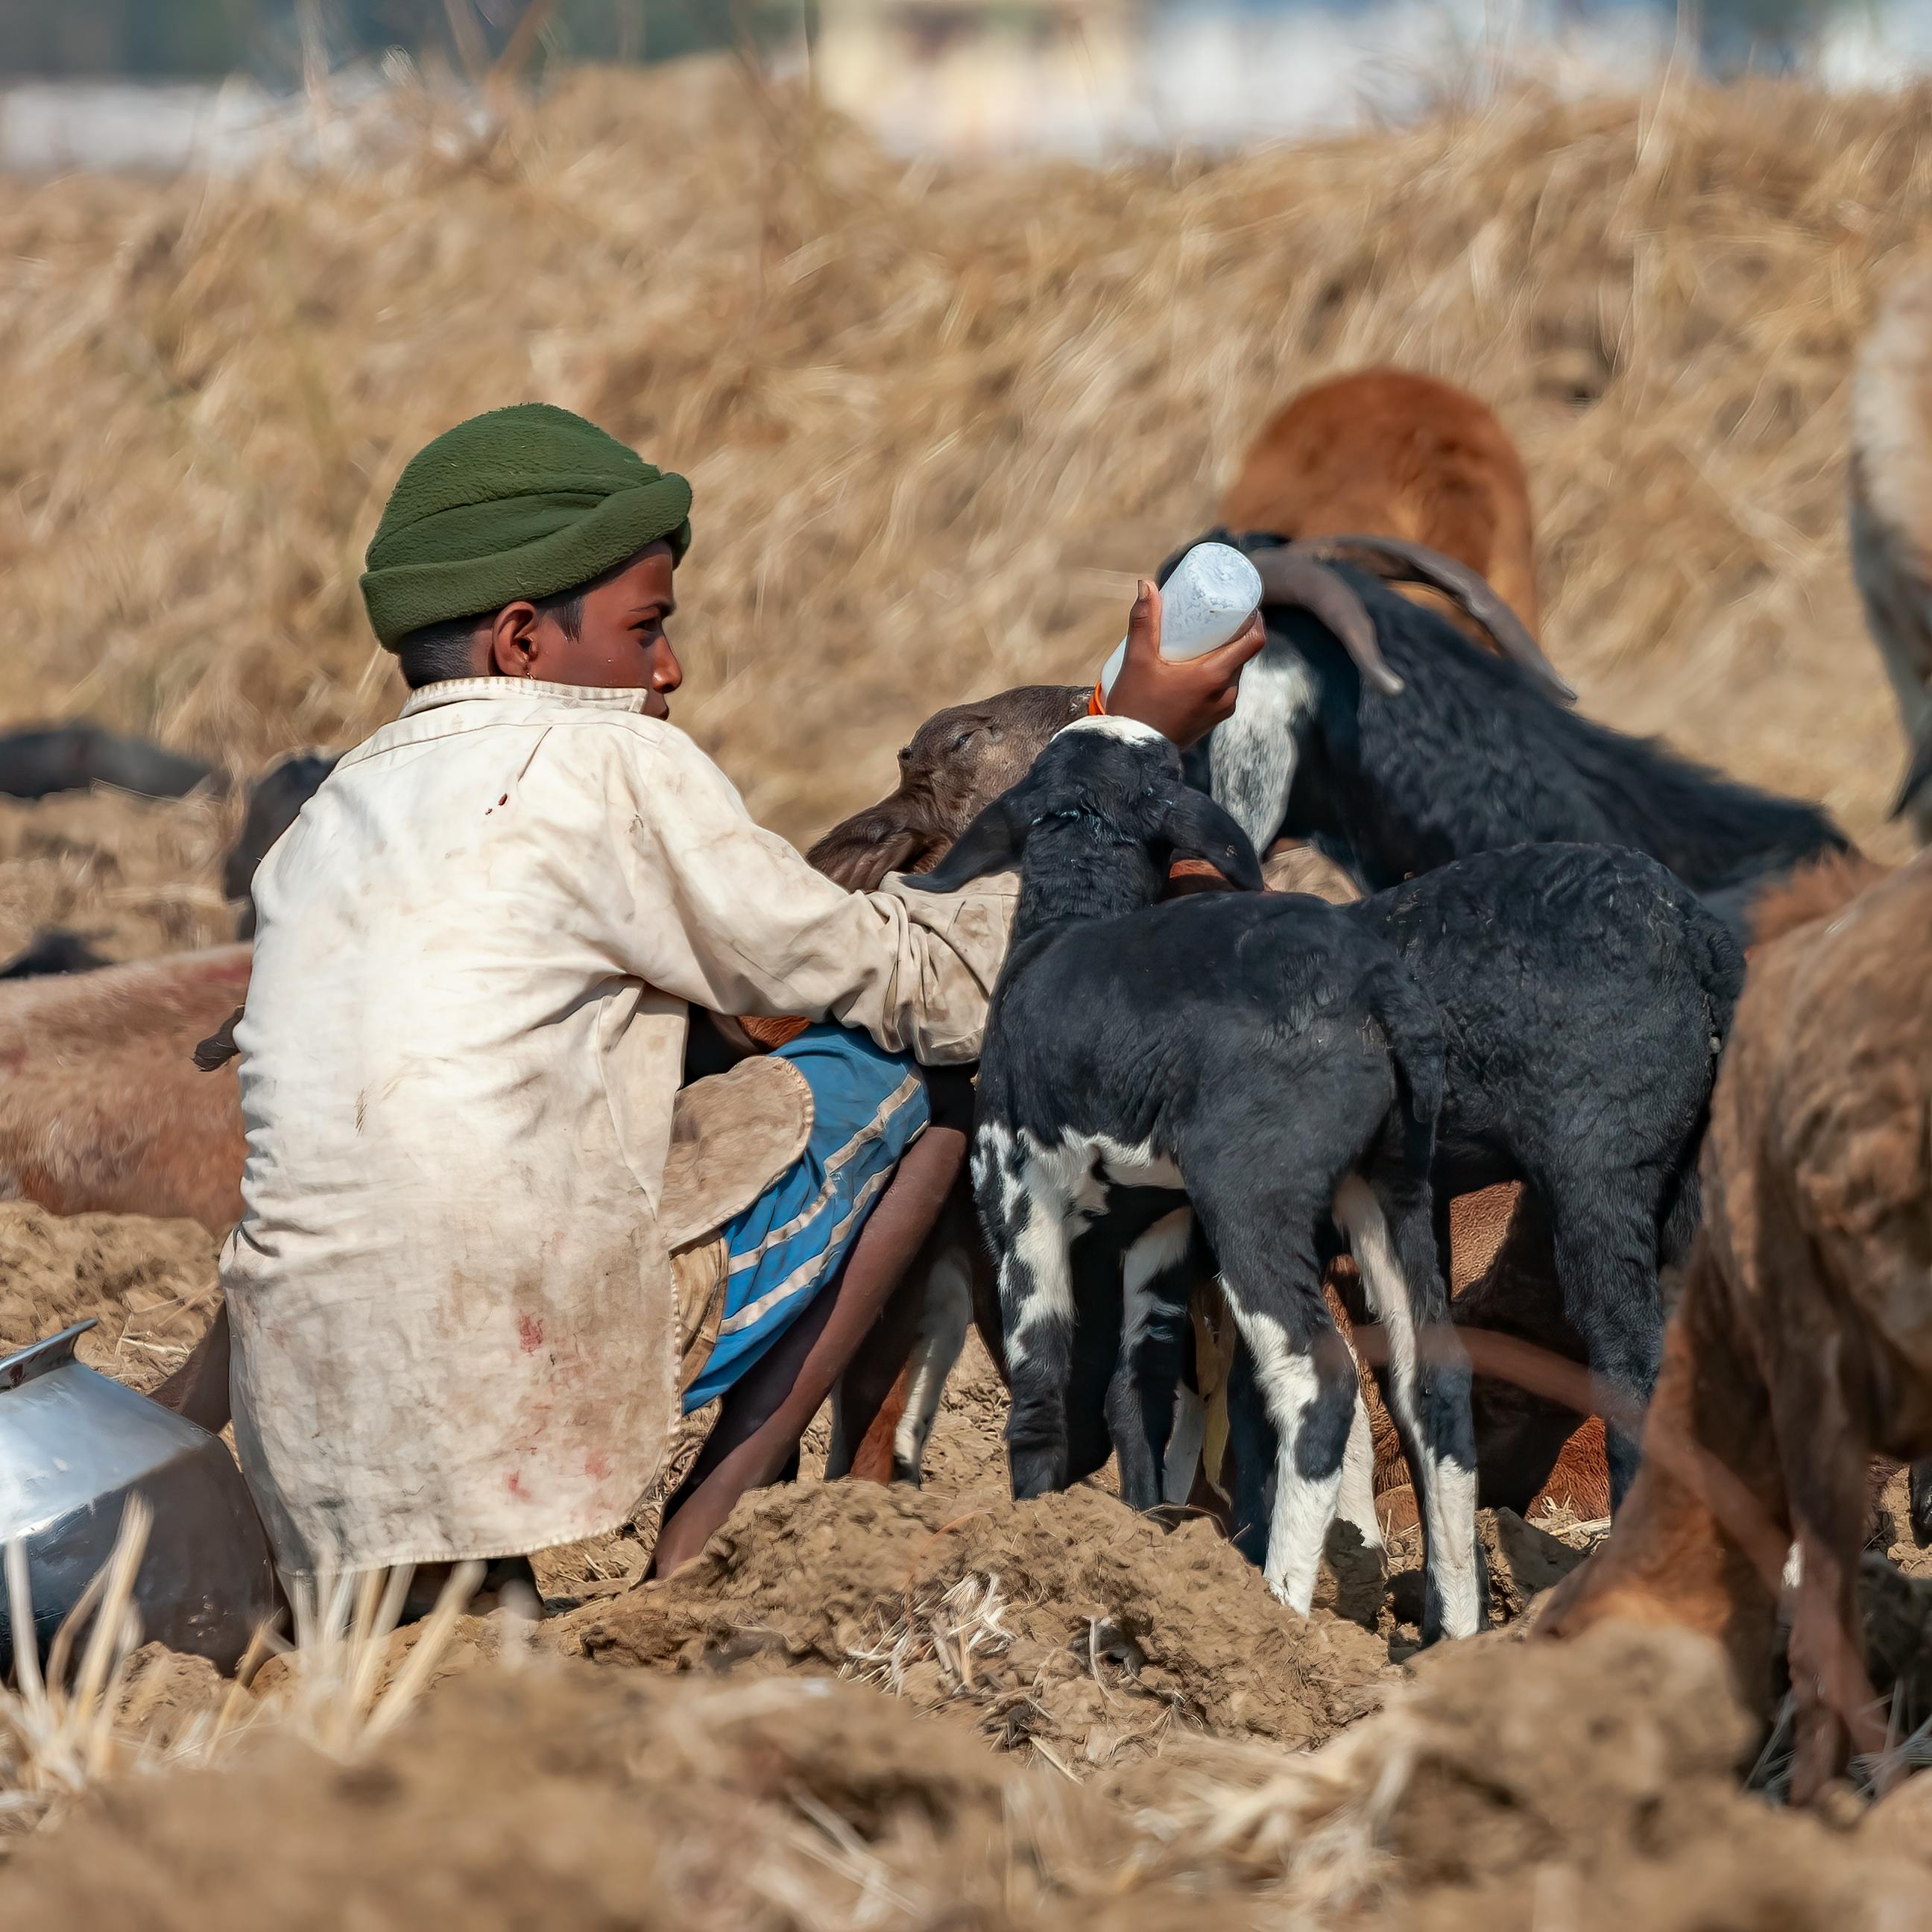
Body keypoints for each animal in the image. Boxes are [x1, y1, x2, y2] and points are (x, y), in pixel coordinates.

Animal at [909, 717, 1483, 1635]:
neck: (1068, 921)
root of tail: (1380, 988)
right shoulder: (1162, 1223)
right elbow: (1137, 1386)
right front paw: (1144, 1533)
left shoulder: (1016, 1193)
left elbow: (1040, 1378)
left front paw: (1029, 1530)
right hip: (1391, 1182)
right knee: (1436, 1376)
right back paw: (1458, 1634)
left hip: (1252, 1192)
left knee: (1316, 1378)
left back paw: (1281, 1608)